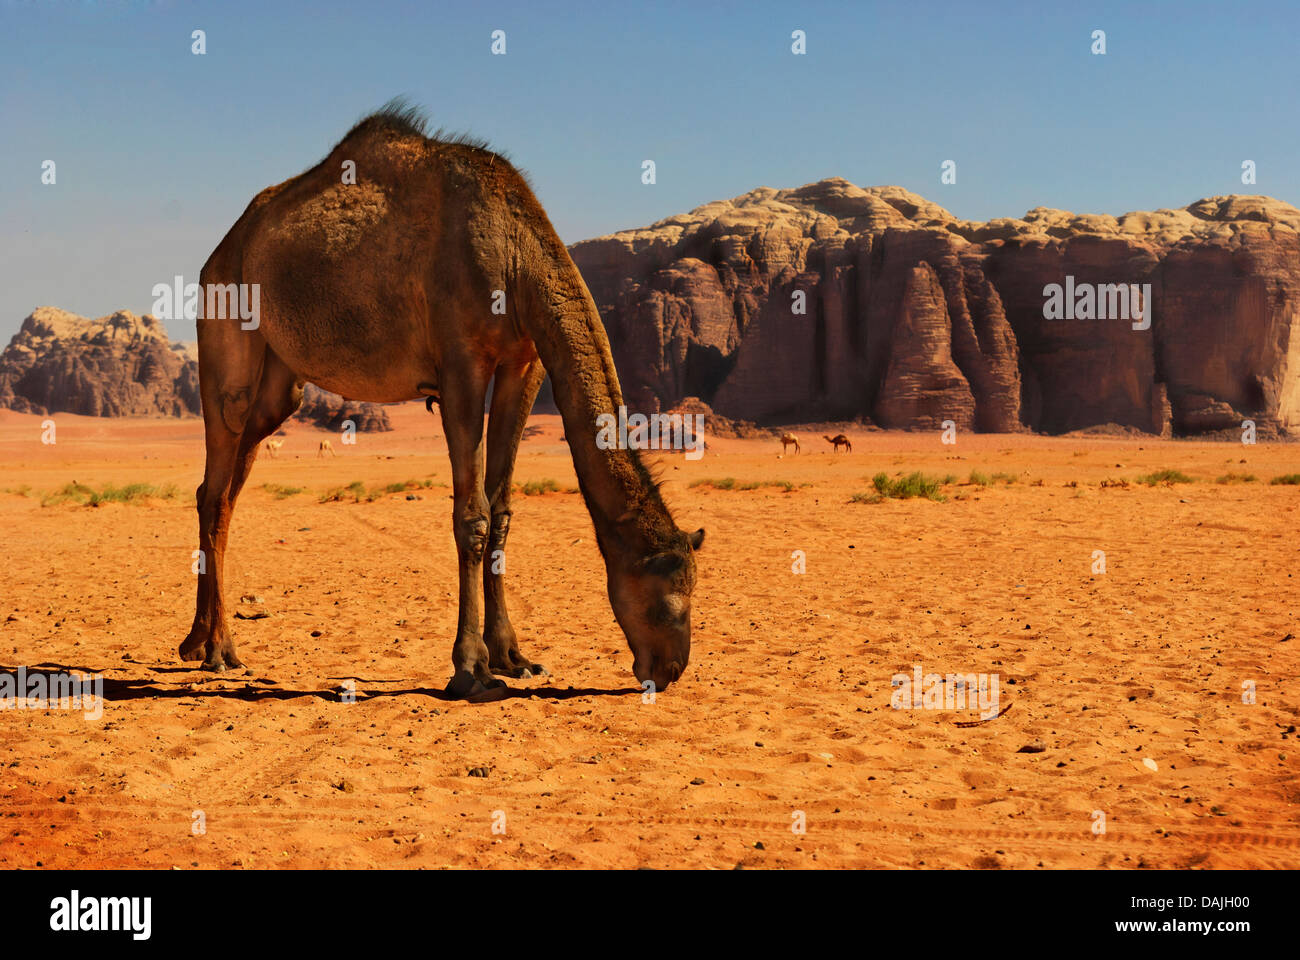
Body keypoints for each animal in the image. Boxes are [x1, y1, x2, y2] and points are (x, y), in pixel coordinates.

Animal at [181, 100, 704, 698]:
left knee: (221, 489)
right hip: (227, 338)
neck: (515, 257)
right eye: (664, 604)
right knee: (219, 477)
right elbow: (472, 515)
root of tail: (218, 255)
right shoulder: (461, 366)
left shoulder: (524, 363)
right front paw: (471, 667)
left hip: (279, 384)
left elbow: (501, 511)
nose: (670, 669)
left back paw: (197, 642)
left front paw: (514, 656)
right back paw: (220, 649)